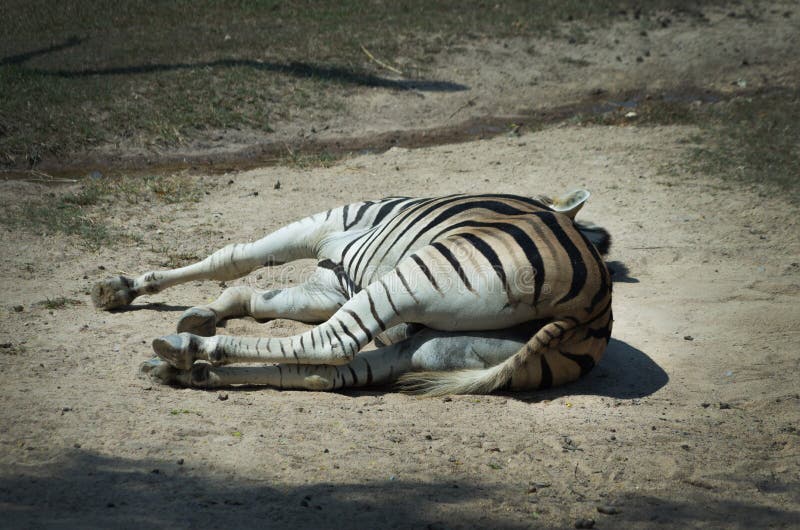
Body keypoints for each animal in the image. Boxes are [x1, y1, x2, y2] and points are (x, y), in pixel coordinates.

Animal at [92, 190, 612, 395]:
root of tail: (593, 310)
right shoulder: (327, 286)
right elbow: (254, 298)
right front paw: (199, 310)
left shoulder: (325, 225)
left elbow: (233, 259)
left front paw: (123, 287)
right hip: (436, 348)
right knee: (333, 372)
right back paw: (188, 373)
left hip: (413, 279)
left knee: (331, 343)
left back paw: (188, 351)